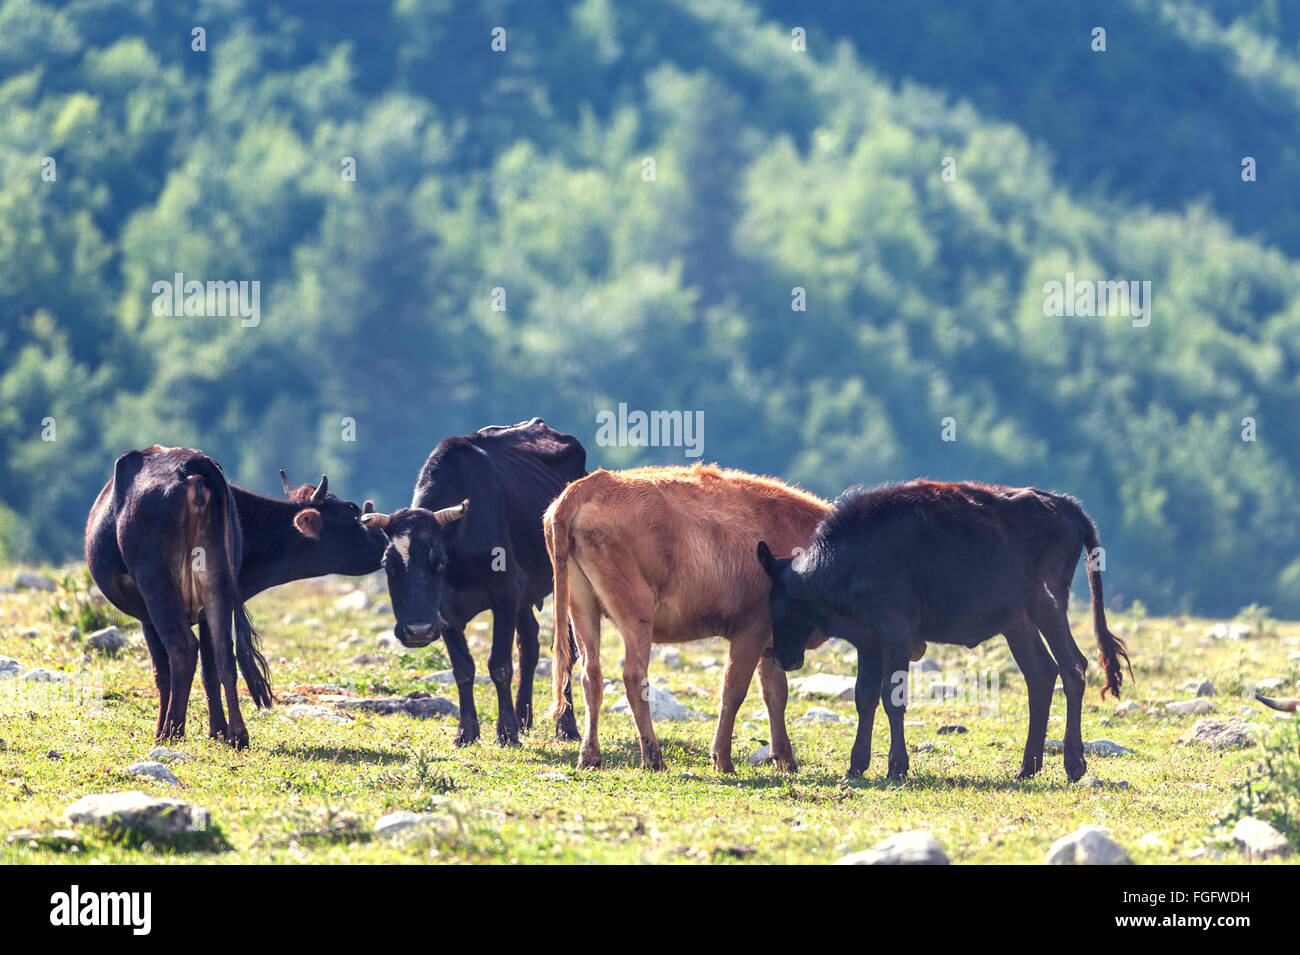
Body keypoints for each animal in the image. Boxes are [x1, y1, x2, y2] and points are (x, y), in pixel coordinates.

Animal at [86, 446, 386, 748]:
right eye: (352, 512)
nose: (386, 543)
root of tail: (191, 462)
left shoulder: (146, 614)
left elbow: (162, 671)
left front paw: (170, 727)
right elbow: (209, 670)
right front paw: (218, 730)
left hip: (155, 584)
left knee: (183, 648)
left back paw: (171, 731)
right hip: (213, 583)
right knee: (223, 655)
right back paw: (237, 734)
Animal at [360, 418, 587, 747]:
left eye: (439, 562)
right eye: (387, 564)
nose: (417, 631)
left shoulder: (506, 592)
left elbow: (499, 664)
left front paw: (507, 733)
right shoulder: (443, 611)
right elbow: (463, 669)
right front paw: (466, 732)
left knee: (564, 649)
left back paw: (565, 727)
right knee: (529, 644)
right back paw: (524, 718)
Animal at [546, 463, 831, 773]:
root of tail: (592, 483)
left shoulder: (771, 640)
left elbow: (776, 695)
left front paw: (786, 760)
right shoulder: (752, 630)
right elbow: (733, 690)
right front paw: (723, 760)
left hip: (582, 605)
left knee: (591, 675)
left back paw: (590, 756)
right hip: (636, 610)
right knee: (634, 677)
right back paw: (653, 758)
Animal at [756, 479, 1132, 782]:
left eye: (779, 606)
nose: (783, 658)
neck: (846, 561)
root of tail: (1066, 505)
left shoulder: (894, 635)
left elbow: (892, 698)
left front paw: (897, 767)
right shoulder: (867, 641)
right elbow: (864, 698)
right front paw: (856, 766)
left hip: (1047, 605)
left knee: (1073, 667)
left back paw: (1073, 763)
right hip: (1018, 622)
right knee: (1040, 674)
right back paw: (1027, 767)